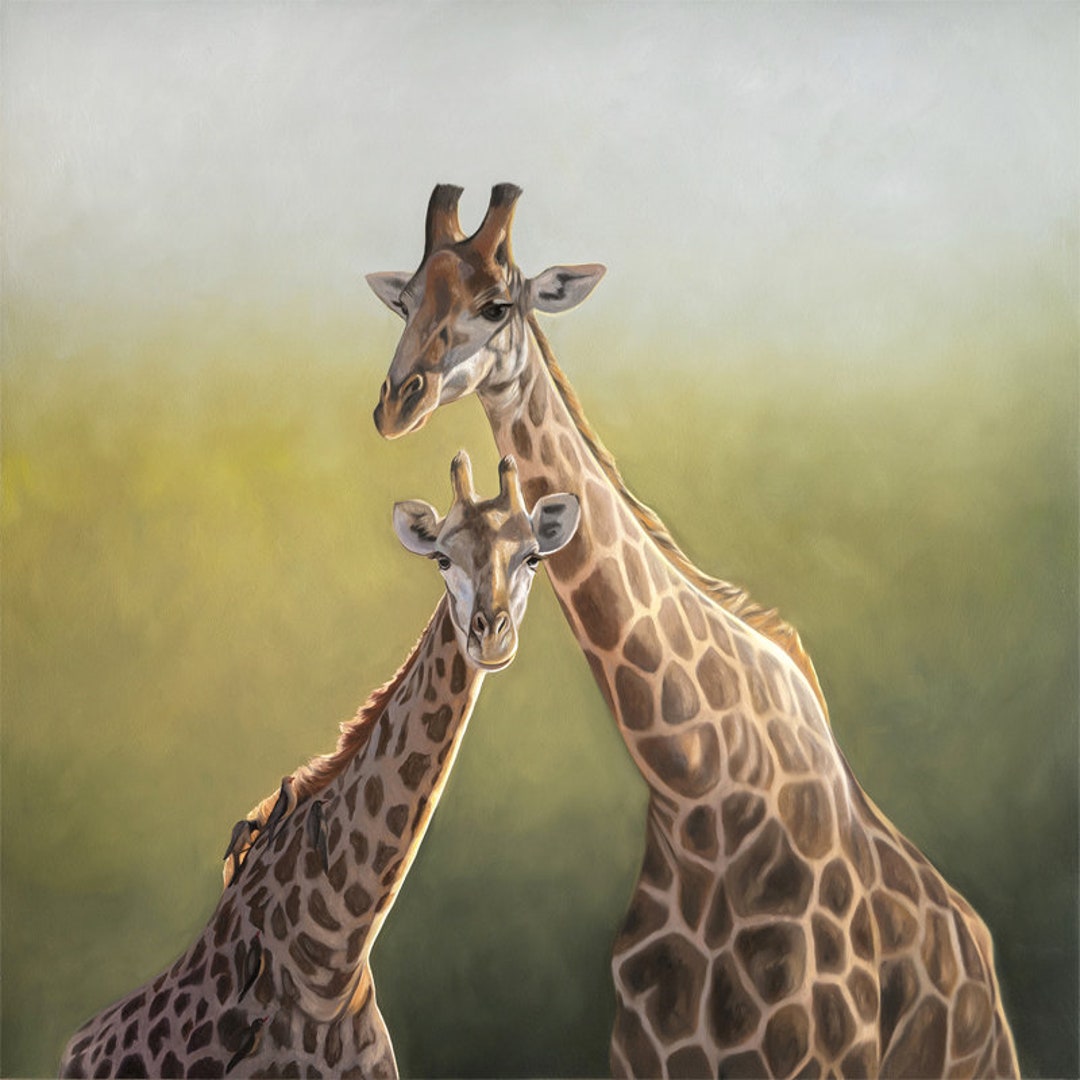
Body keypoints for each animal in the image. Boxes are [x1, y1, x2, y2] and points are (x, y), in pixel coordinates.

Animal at [366, 184, 1020, 1079]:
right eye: (404, 301)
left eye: (498, 304)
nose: (397, 403)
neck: (698, 789)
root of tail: (983, 966)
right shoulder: (649, 1054)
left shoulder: (815, 1058)